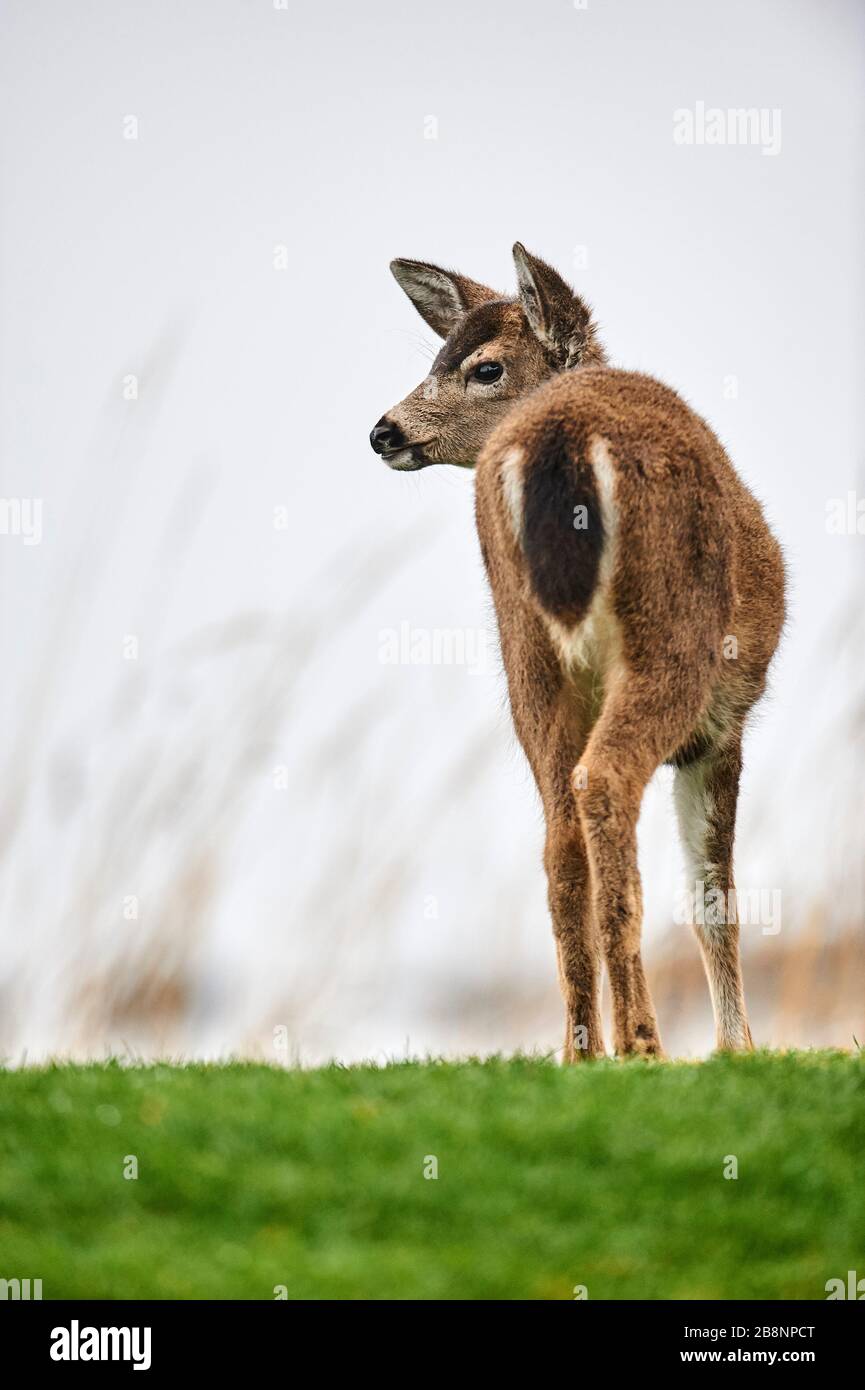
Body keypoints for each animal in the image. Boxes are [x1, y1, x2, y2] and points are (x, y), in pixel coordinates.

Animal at [370, 244, 785, 1060]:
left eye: (482, 366)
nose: (384, 432)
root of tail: (555, 437)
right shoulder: (724, 726)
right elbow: (713, 895)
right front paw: (737, 1048)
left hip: (522, 647)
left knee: (559, 833)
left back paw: (581, 1049)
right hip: (673, 637)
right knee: (603, 783)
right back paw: (642, 1043)